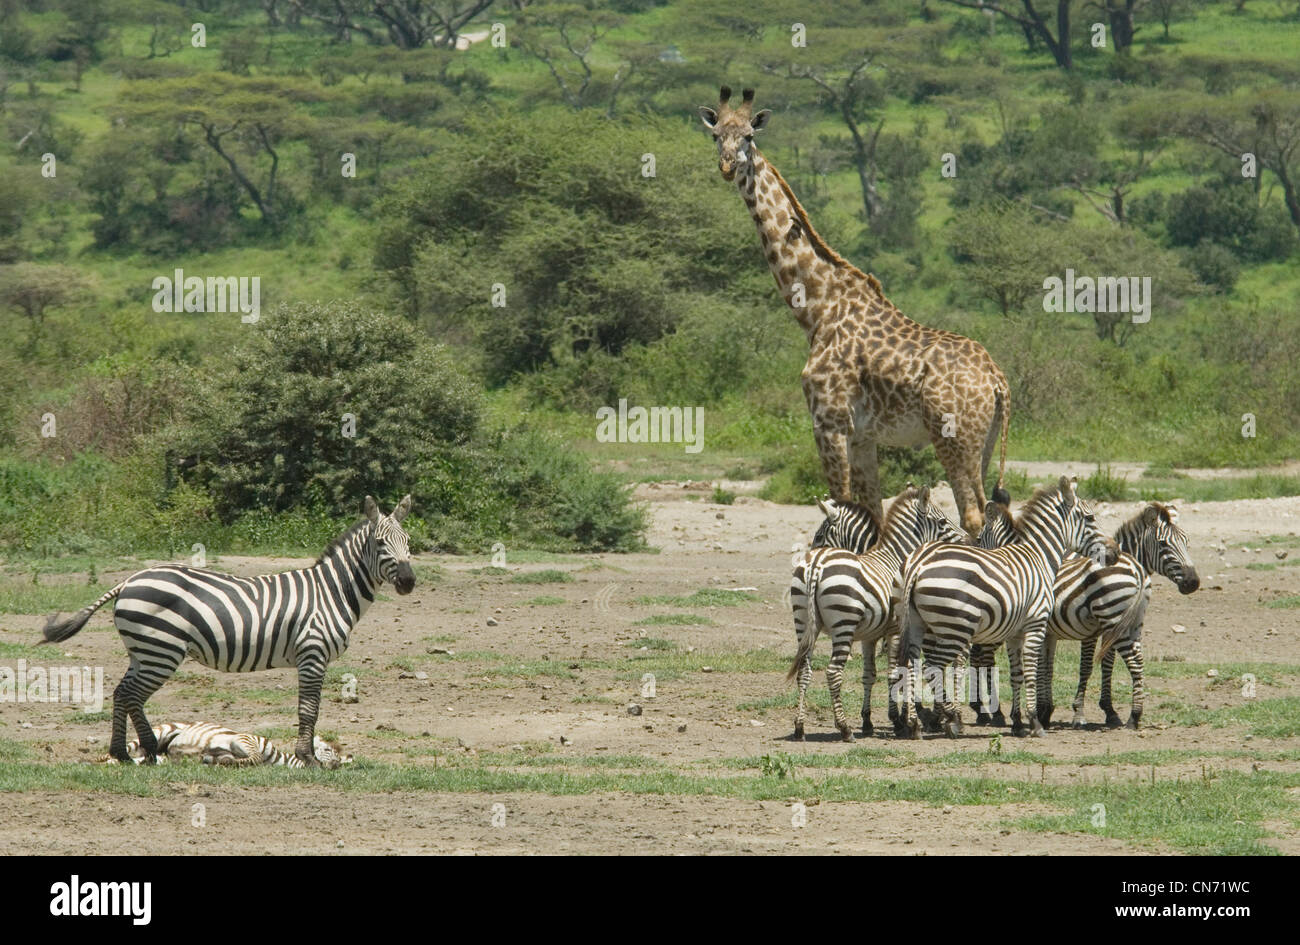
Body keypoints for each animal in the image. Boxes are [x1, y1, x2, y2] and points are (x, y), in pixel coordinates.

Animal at [42, 495, 416, 767]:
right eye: (380, 543)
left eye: (408, 541)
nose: (409, 581)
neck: (331, 591)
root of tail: (129, 579)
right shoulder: (313, 653)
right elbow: (309, 708)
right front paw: (308, 758)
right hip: (160, 651)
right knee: (131, 694)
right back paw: (139, 751)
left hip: (144, 651)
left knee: (123, 693)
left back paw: (134, 751)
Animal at [699, 86, 1010, 534]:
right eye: (715, 135)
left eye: (749, 137)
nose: (727, 166)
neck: (818, 309)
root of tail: (997, 381)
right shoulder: (863, 436)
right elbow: (873, 517)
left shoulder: (828, 423)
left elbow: (841, 509)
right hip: (984, 442)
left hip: (953, 438)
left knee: (974, 514)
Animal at [788, 486, 968, 740]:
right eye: (943, 521)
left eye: (819, 536)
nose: (968, 540)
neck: (896, 555)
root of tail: (817, 565)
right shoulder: (894, 631)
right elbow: (896, 671)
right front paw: (902, 721)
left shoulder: (871, 635)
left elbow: (870, 674)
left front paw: (871, 721)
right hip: (844, 625)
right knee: (833, 672)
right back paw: (845, 728)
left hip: (803, 623)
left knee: (804, 669)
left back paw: (800, 727)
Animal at [895, 476, 1110, 738]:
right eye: (1090, 518)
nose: (1113, 553)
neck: (1040, 557)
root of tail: (917, 565)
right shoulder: (1036, 625)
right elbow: (1031, 670)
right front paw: (1035, 721)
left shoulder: (1014, 633)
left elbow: (1017, 674)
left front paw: (1017, 722)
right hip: (954, 628)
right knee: (931, 667)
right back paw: (950, 717)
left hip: (918, 624)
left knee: (911, 665)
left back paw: (915, 724)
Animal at [971, 497, 1197, 730]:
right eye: (1164, 544)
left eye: (1186, 542)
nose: (1193, 582)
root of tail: (1136, 570)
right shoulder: (1073, 632)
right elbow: (1056, 667)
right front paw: (1055, 711)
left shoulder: (1085, 631)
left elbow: (1086, 666)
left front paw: (1069, 712)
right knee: (981, 656)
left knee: (981, 656)